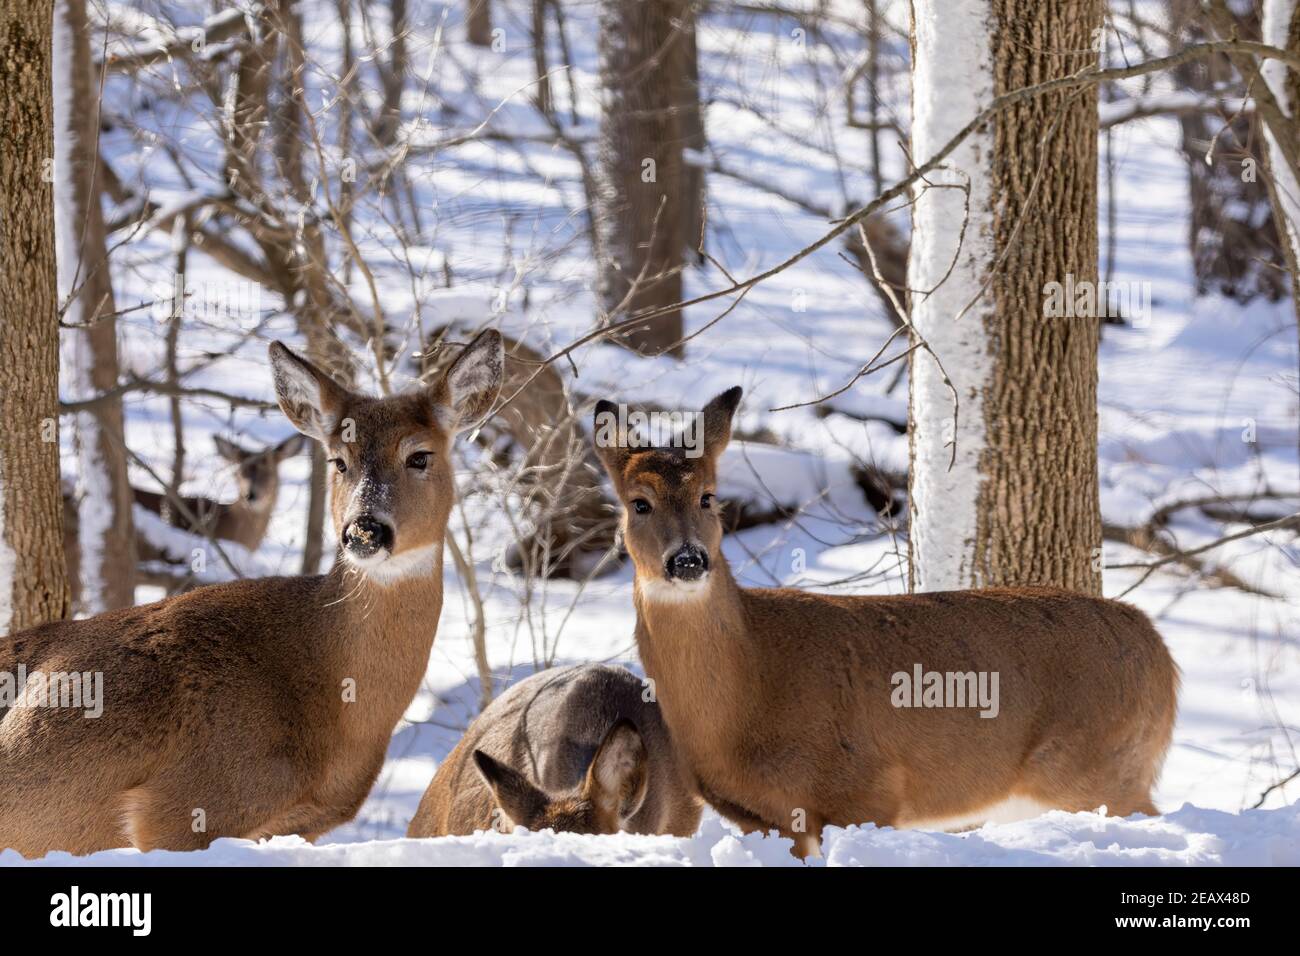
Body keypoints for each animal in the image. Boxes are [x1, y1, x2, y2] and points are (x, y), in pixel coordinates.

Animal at [592, 387, 1180, 858]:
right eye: (639, 503)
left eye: (708, 497)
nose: (688, 560)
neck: (750, 687)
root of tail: (1164, 657)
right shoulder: (760, 815)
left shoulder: (868, 787)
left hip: (1101, 765)